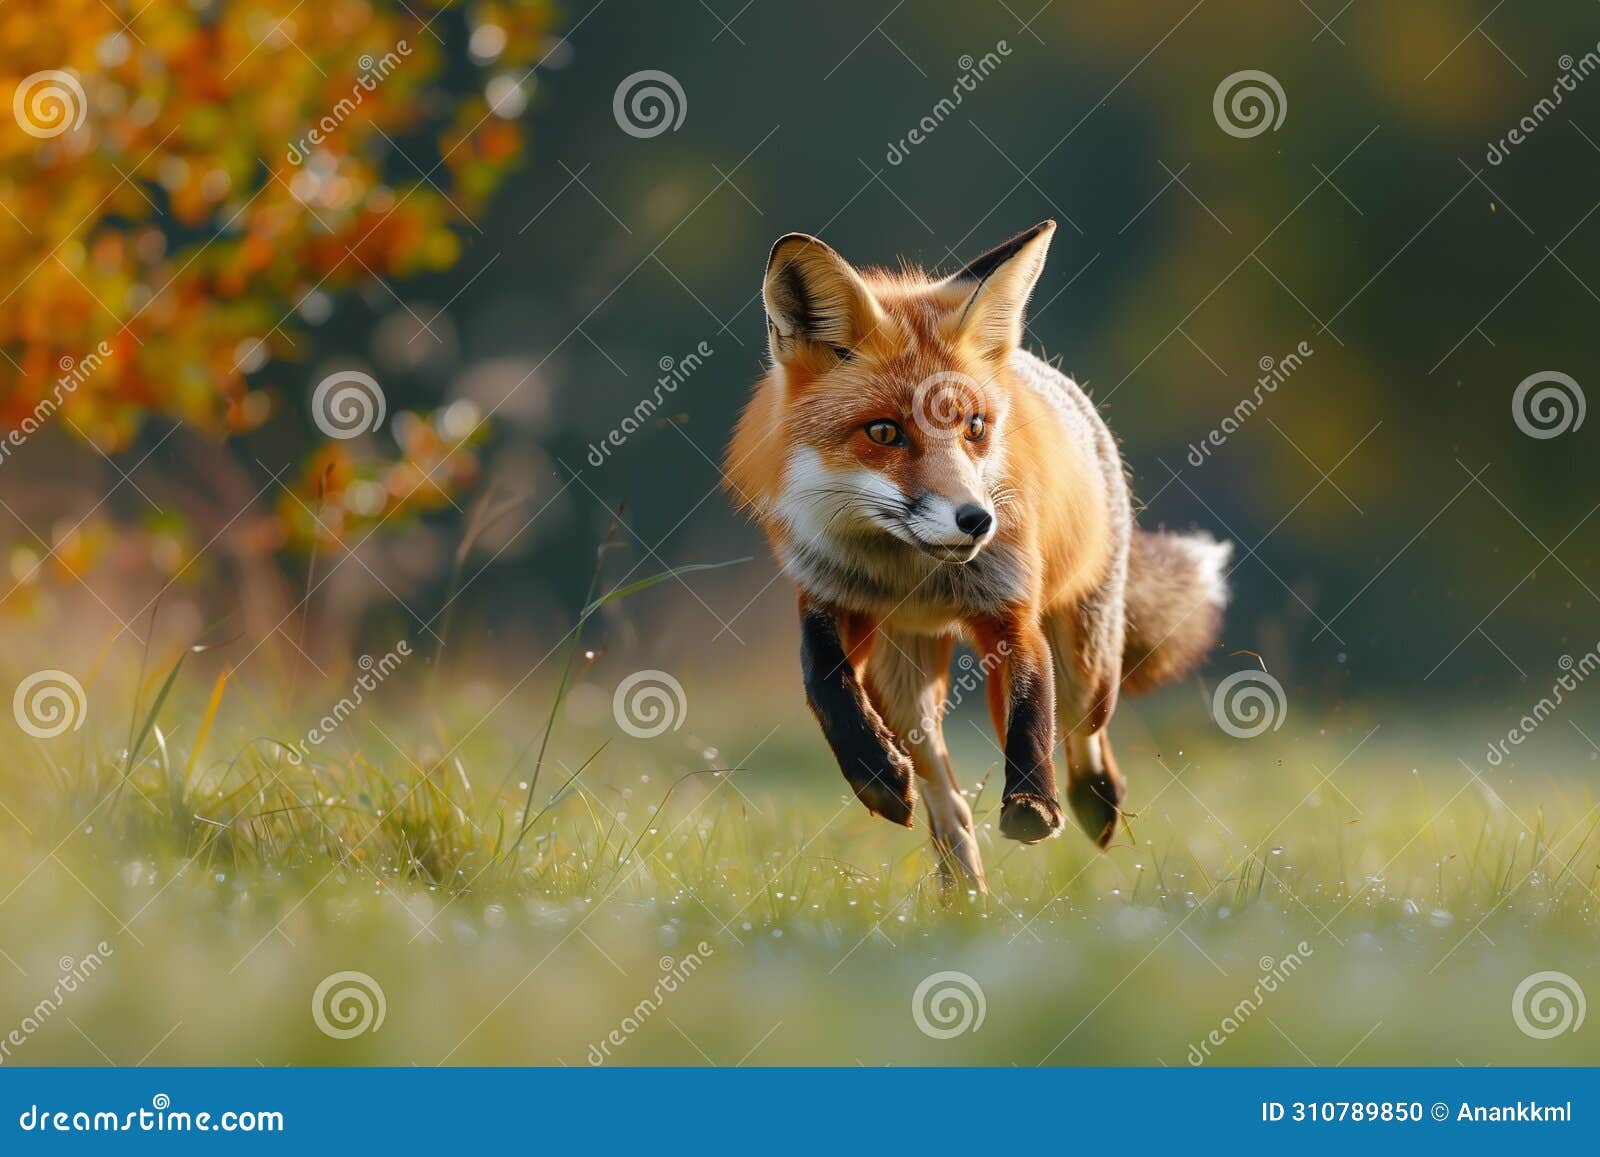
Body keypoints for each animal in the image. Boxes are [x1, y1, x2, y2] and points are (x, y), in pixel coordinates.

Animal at [725, 221, 1230, 892]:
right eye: (883, 432)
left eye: (975, 427)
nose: (977, 520)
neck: (912, 572)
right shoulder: (829, 596)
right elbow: (824, 682)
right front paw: (875, 776)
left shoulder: (1010, 612)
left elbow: (1031, 714)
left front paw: (1032, 805)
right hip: (903, 686)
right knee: (949, 804)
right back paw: (963, 888)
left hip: (1087, 662)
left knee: (1082, 727)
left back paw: (1095, 799)